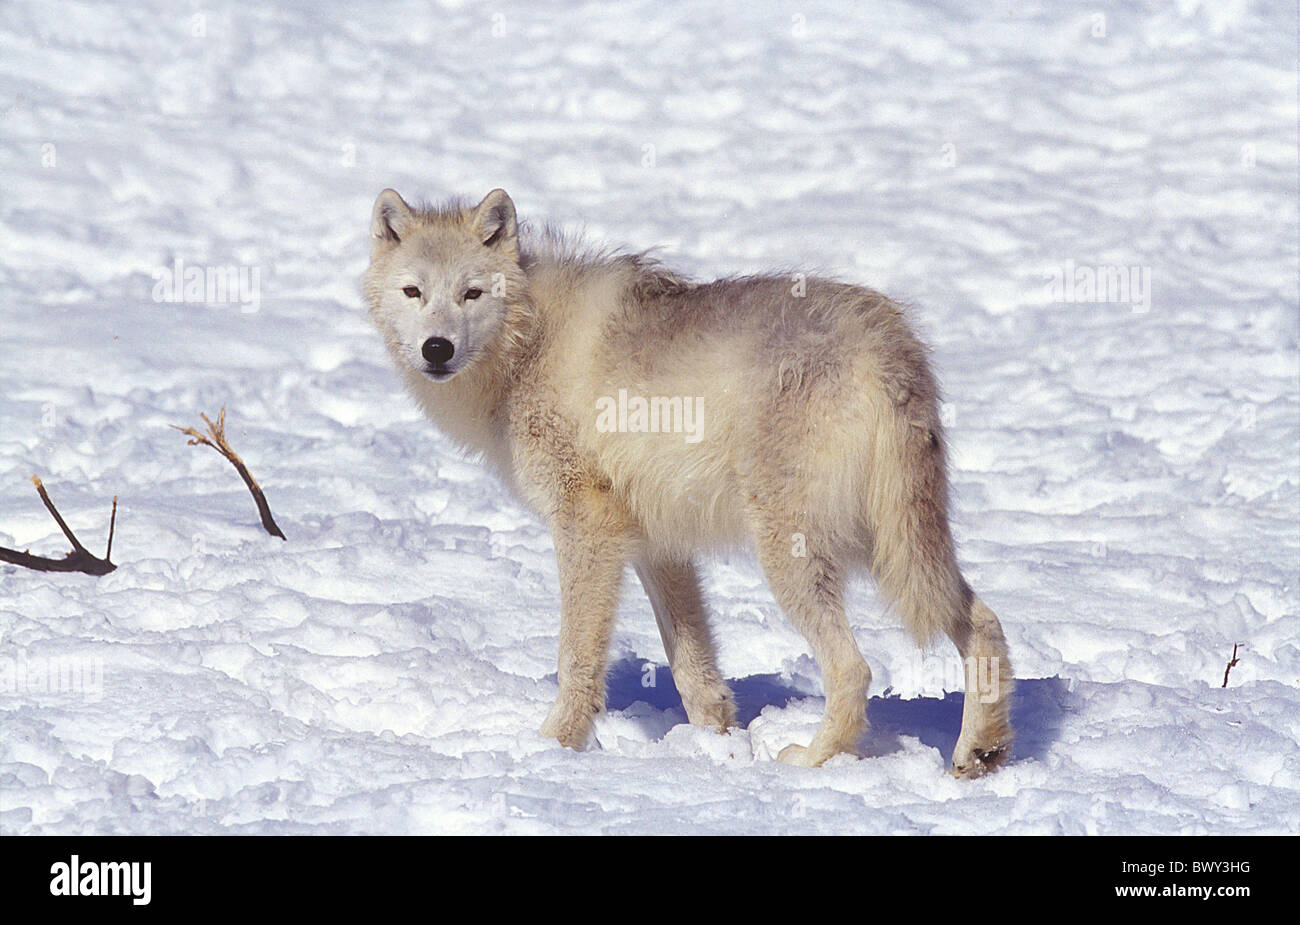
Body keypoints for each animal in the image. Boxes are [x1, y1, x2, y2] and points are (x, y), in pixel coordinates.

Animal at [364, 188, 1014, 776]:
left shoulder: (585, 526)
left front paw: (553, 745)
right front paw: (717, 745)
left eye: (471, 293)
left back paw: (810, 761)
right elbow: (693, 669)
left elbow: (578, 657)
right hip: (896, 549)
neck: (528, 346)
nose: (437, 348)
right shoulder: (658, 544)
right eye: (414, 292)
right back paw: (979, 754)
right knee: (984, 624)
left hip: (798, 555)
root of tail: (886, 344)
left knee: (855, 669)